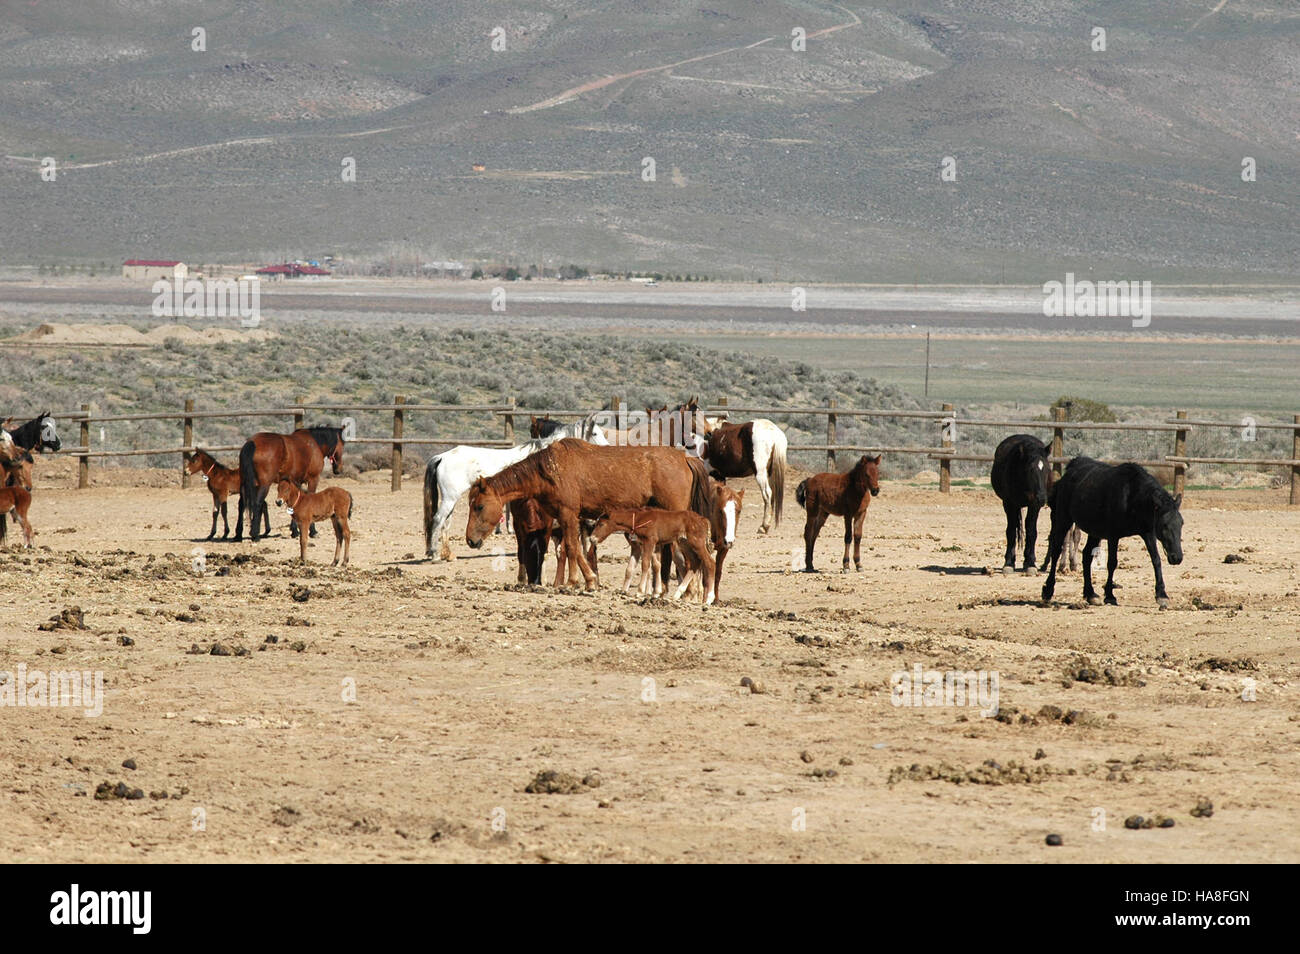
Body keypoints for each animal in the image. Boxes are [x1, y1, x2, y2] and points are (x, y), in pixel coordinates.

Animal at [465, 439, 712, 589]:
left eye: (479, 506)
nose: (470, 540)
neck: (549, 470)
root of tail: (686, 459)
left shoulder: (568, 514)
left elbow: (572, 548)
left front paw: (579, 581)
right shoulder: (568, 519)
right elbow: (573, 549)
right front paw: (585, 580)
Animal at [990, 434, 1052, 574]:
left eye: (1047, 468)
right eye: (1030, 469)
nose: (1042, 498)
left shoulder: (1034, 505)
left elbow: (1031, 531)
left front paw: (1031, 563)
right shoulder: (1009, 504)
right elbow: (1011, 531)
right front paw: (1008, 563)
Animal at [1041, 457, 1184, 608]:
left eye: (1181, 523)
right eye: (1164, 525)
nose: (1177, 557)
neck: (1130, 496)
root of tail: (1068, 473)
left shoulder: (1148, 533)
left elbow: (1156, 560)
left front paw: (1162, 595)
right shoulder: (1113, 536)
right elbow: (1112, 563)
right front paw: (1110, 595)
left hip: (1094, 532)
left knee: (1086, 555)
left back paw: (1090, 594)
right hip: (1064, 521)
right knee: (1056, 551)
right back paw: (1048, 590)